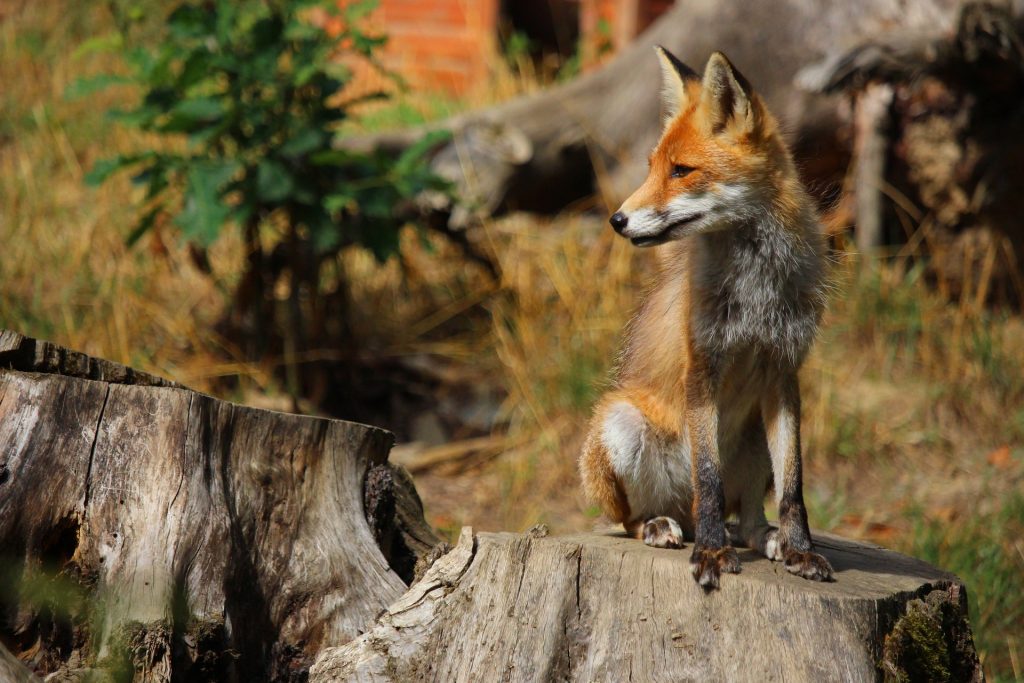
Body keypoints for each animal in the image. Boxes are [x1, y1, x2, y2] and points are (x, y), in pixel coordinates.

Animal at [578, 47, 834, 589]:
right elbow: (709, 479)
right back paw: (665, 528)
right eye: (653, 167)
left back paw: (766, 539)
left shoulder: (784, 371)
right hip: (620, 425)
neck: (756, 288)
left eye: (681, 170)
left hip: (755, 438)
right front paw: (713, 556)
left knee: (750, 515)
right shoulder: (702, 367)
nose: (616, 220)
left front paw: (802, 551)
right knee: (644, 517)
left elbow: (794, 488)